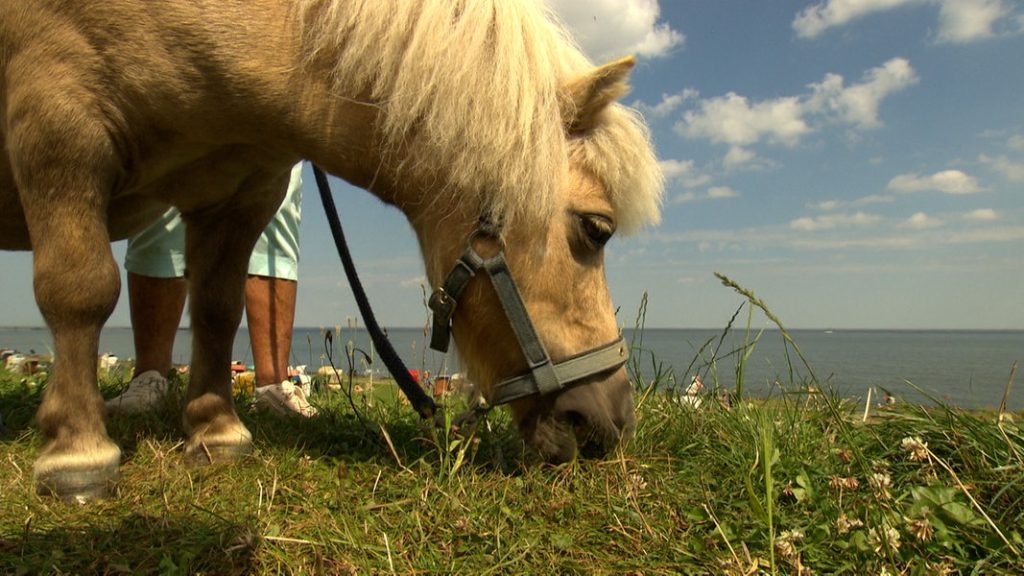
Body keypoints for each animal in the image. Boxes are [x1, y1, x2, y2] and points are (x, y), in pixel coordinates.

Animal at [0, 0, 663, 498]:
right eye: (597, 229)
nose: (616, 422)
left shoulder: (245, 189)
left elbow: (217, 307)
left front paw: (216, 432)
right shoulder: (58, 132)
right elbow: (80, 291)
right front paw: (78, 452)